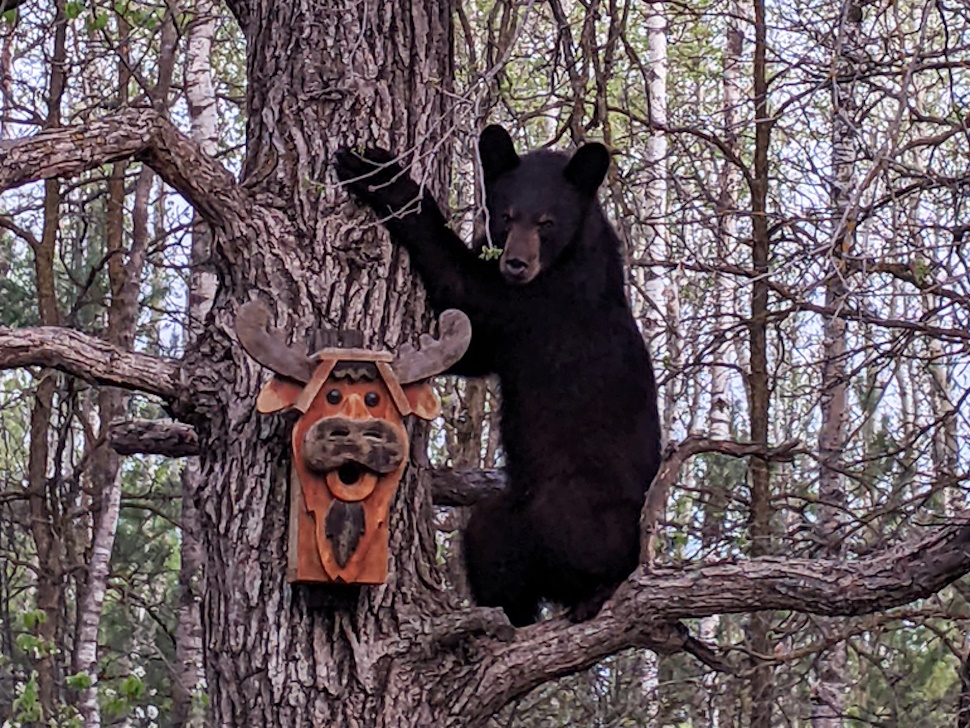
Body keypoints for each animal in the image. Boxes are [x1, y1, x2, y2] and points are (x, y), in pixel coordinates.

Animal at [335, 125, 661, 626]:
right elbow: (470, 348)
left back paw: (595, 591)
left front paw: (379, 171)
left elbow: (470, 300)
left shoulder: (542, 304)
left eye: (546, 222)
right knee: (488, 540)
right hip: (511, 519)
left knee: (570, 531)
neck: (569, 258)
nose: (516, 264)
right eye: (507, 216)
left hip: (578, 499)